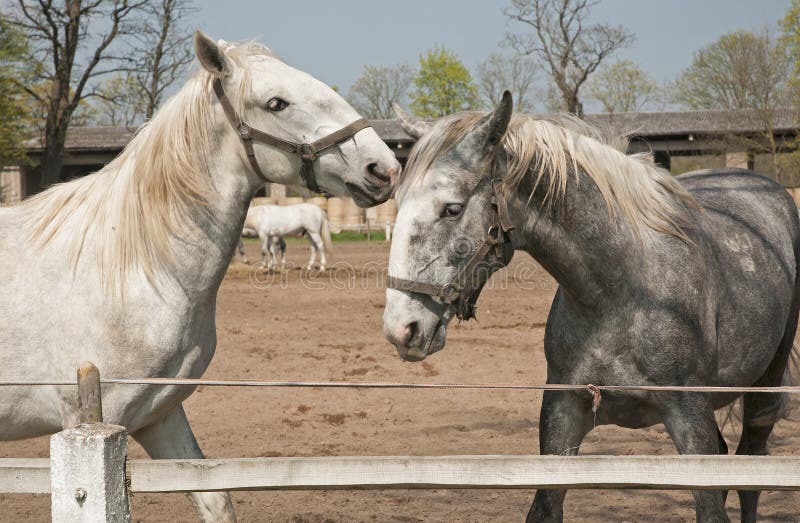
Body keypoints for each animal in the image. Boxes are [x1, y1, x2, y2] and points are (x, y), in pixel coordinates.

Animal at [0, 31, 399, 522]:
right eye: (277, 103)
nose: (384, 168)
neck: (131, 266)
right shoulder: (87, 427)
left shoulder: (159, 414)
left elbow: (215, 499)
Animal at [382, 93, 800, 523]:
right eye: (397, 202)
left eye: (451, 208)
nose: (401, 328)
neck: (623, 294)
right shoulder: (562, 418)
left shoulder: (691, 419)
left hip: (764, 390)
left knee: (751, 471)